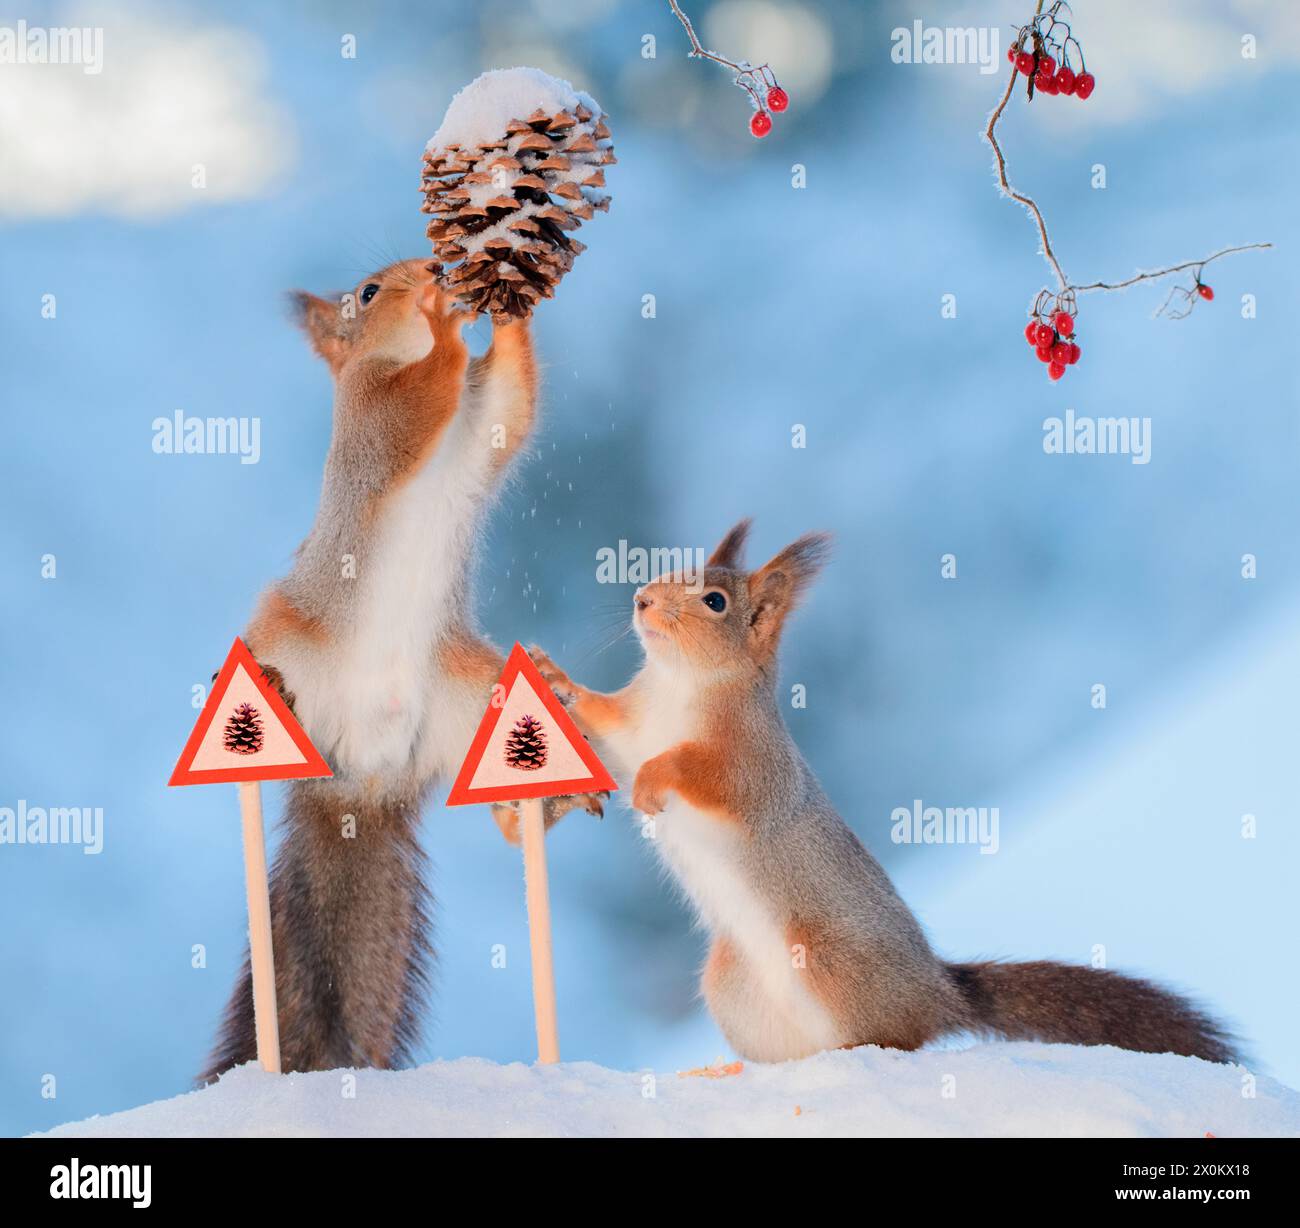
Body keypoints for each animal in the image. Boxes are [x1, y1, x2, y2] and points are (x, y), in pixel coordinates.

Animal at [200, 259, 600, 1083]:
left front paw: (508, 303)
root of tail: (361, 783)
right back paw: (272, 691)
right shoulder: (377, 417)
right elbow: (416, 401)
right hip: (287, 634)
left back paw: (546, 796)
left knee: (511, 796)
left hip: (470, 693)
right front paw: (445, 319)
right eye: (367, 293)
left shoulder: (481, 422)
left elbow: (511, 399)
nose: (435, 269)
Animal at [528, 519, 1237, 1066]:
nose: (642, 600)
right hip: (734, 988)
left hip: (829, 964)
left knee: (894, 1041)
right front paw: (553, 678)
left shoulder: (751, 762)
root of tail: (937, 992)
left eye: (715, 603)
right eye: (673, 570)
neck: (680, 685)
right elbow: (606, 723)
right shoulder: (634, 724)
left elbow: (705, 777)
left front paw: (653, 784)